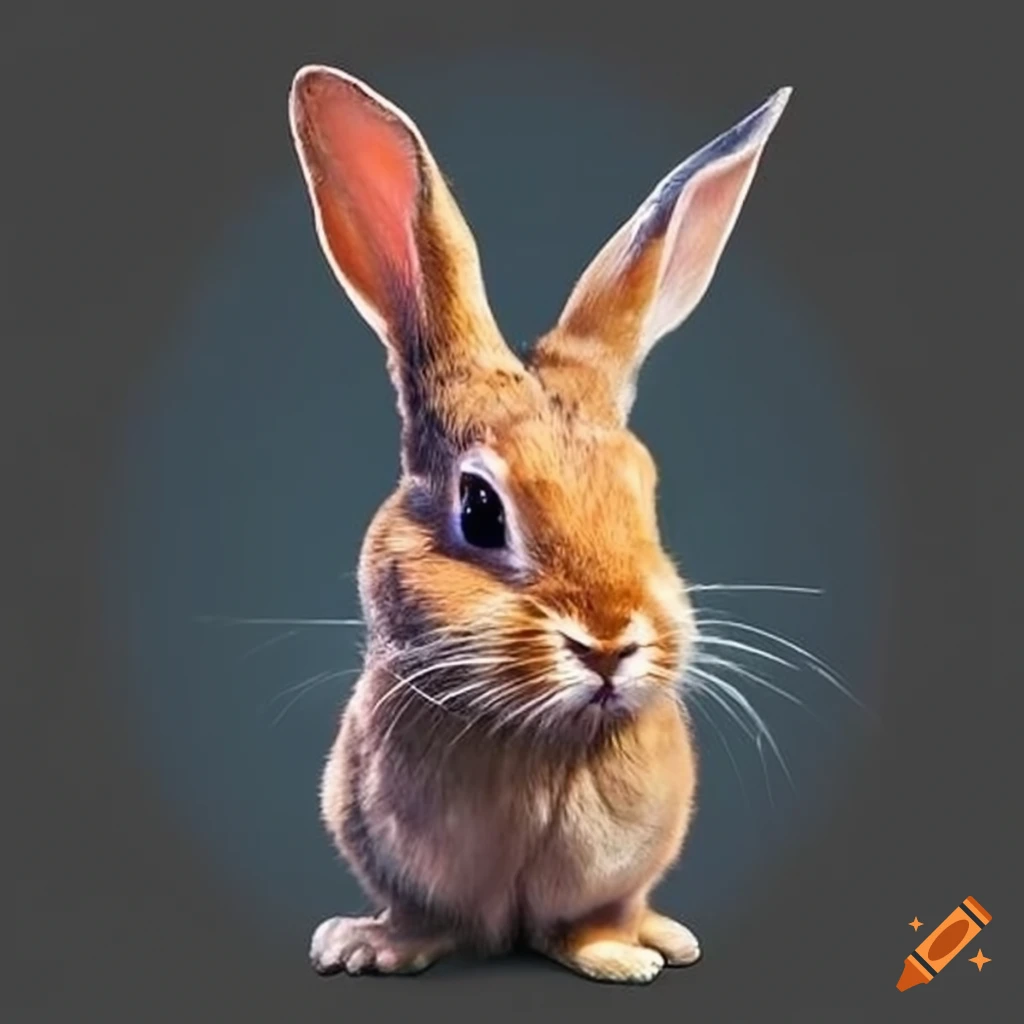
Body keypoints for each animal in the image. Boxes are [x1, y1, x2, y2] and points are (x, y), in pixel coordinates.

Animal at [288, 63, 790, 984]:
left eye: (645, 492)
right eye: (480, 509)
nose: (609, 640)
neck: (540, 734)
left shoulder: (614, 867)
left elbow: (589, 920)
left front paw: (623, 959)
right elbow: (423, 913)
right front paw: (373, 948)